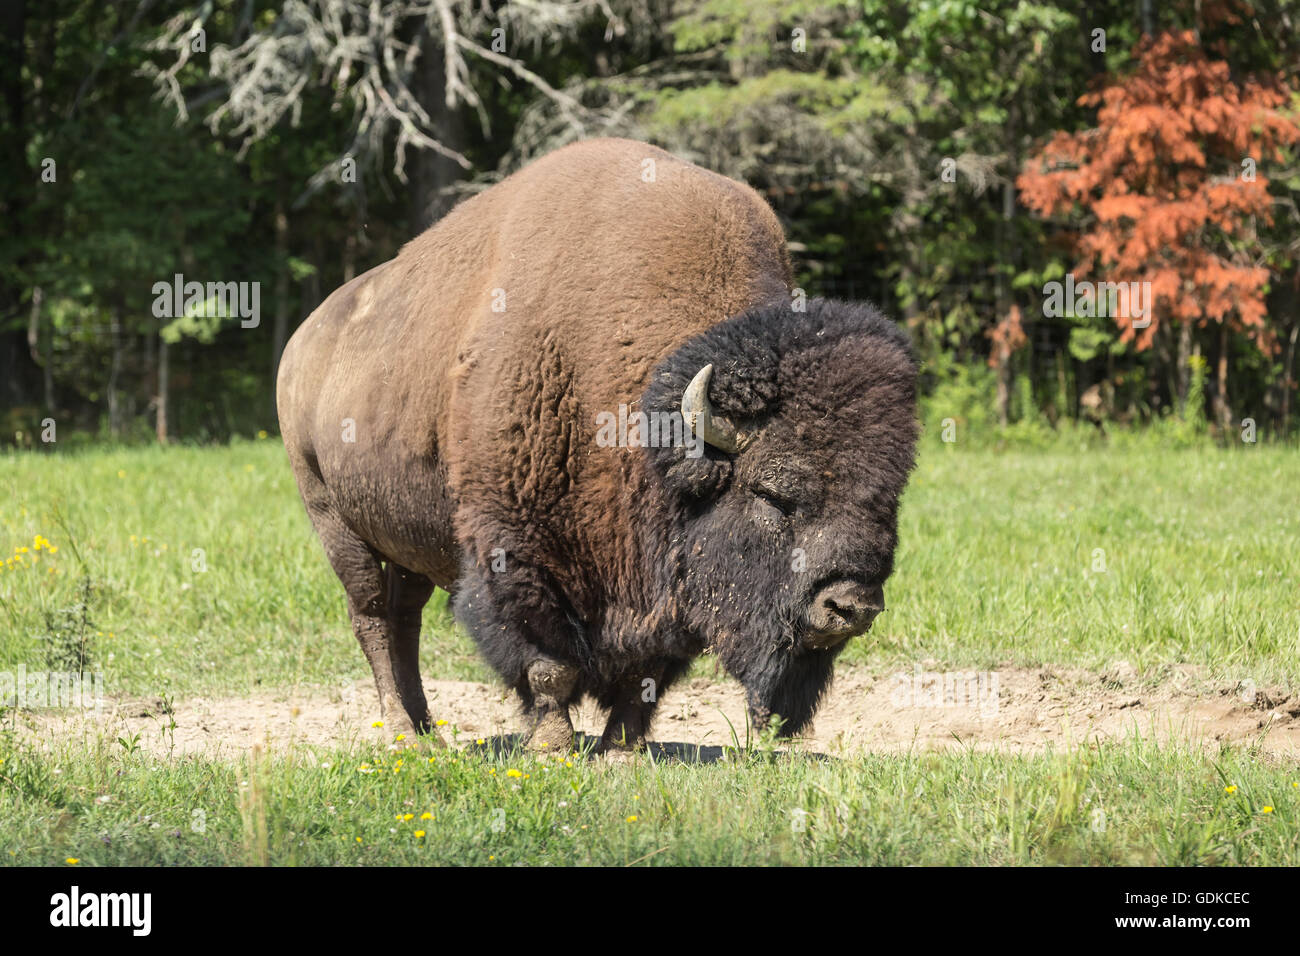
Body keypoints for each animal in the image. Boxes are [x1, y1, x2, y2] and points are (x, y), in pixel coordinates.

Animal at [276, 138, 918, 753]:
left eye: (888, 499)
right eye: (771, 493)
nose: (851, 607)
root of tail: (302, 342)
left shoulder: (658, 580)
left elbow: (646, 671)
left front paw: (621, 747)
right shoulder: (517, 554)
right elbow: (548, 665)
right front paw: (553, 744)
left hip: (407, 537)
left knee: (404, 619)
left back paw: (430, 730)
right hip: (334, 521)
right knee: (372, 619)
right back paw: (403, 735)